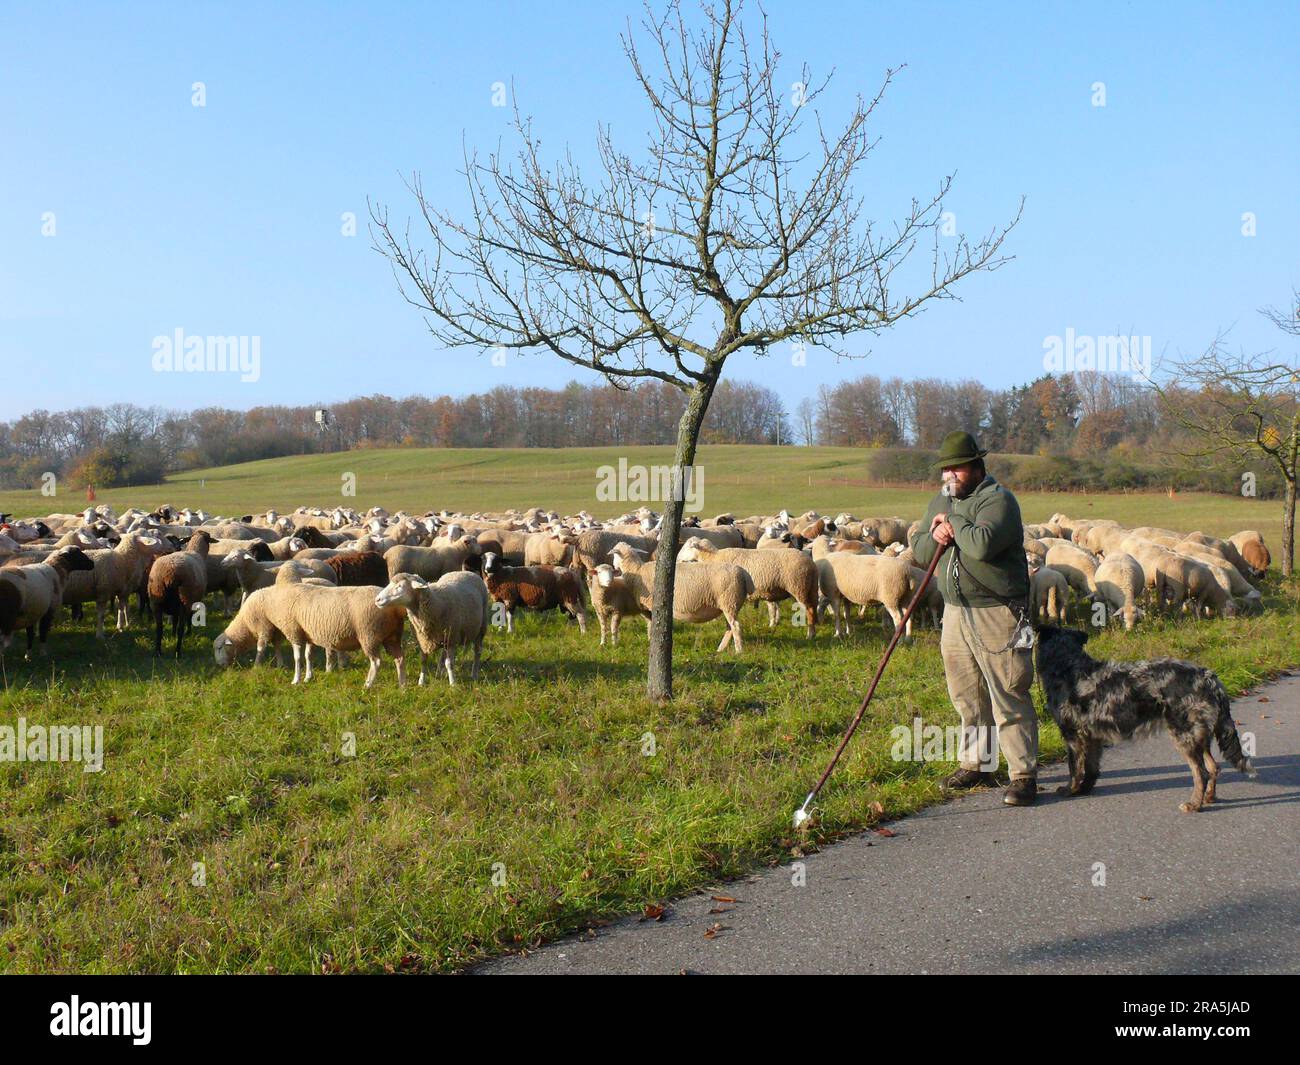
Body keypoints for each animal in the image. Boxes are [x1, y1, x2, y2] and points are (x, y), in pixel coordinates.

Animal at [610, 544, 752, 653]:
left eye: (614, 555)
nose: (613, 566)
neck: (637, 570)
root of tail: (744, 574)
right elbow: (650, 625)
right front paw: (652, 641)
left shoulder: (652, 605)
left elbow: (652, 626)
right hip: (731, 604)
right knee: (730, 627)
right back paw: (720, 649)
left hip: (729, 600)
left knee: (735, 626)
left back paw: (739, 651)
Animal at [676, 537, 819, 637]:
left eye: (688, 547)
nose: (677, 559)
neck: (713, 557)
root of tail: (810, 563)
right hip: (809, 587)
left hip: (798, 586)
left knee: (809, 610)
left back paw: (810, 634)